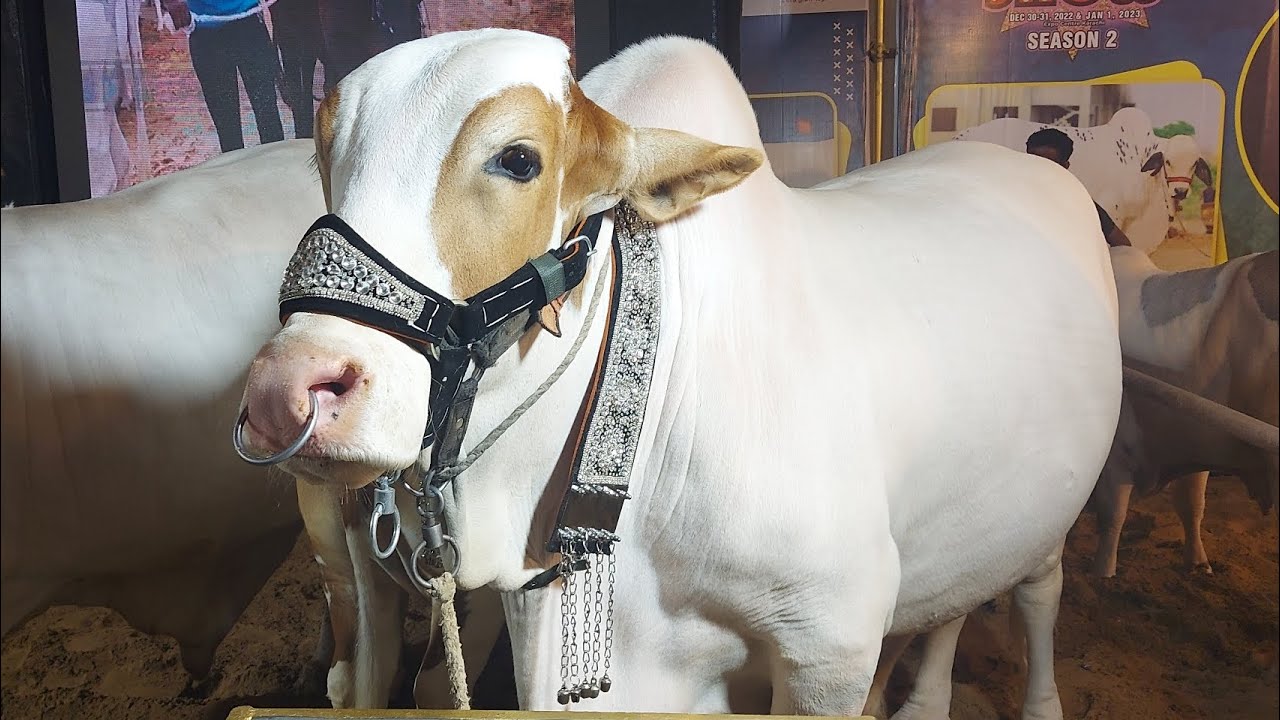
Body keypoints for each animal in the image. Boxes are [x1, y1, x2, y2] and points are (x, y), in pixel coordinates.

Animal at [233, 31, 1121, 713]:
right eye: (325, 154)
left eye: (518, 159)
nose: (289, 394)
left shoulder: (827, 647)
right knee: (949, 607)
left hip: (1052, 511)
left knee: (1035, 591)